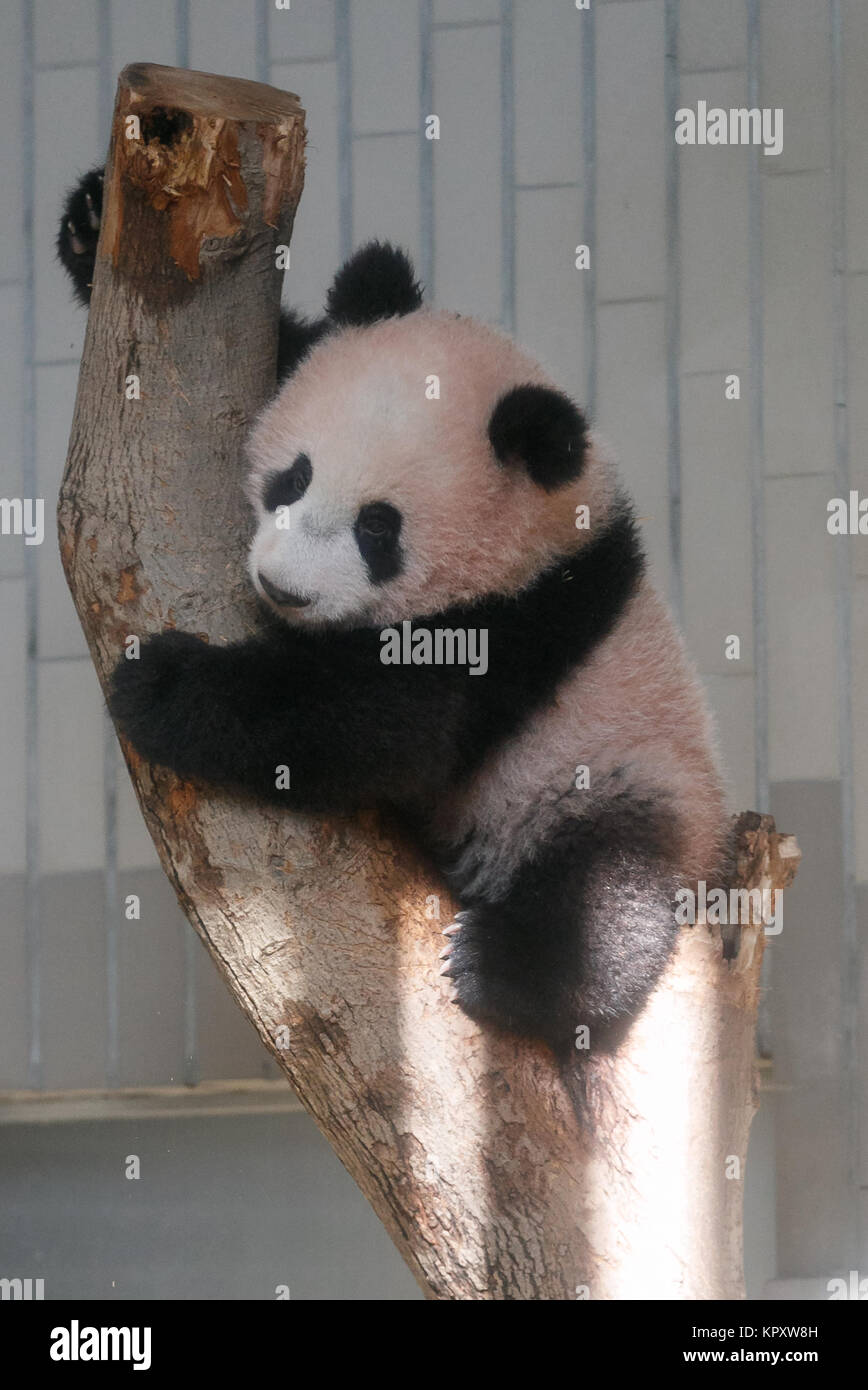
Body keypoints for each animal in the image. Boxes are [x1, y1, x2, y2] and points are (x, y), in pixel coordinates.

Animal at [60, 171, 727, 1056]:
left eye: (379, 528)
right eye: (294, 476)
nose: (282, 586)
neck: (554, 532)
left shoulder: (521, 620)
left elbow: (384, 720)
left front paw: (162, 685)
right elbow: (286, 346)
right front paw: (93, 216)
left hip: (619, 773)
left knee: (609, 884)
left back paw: (501, 967)